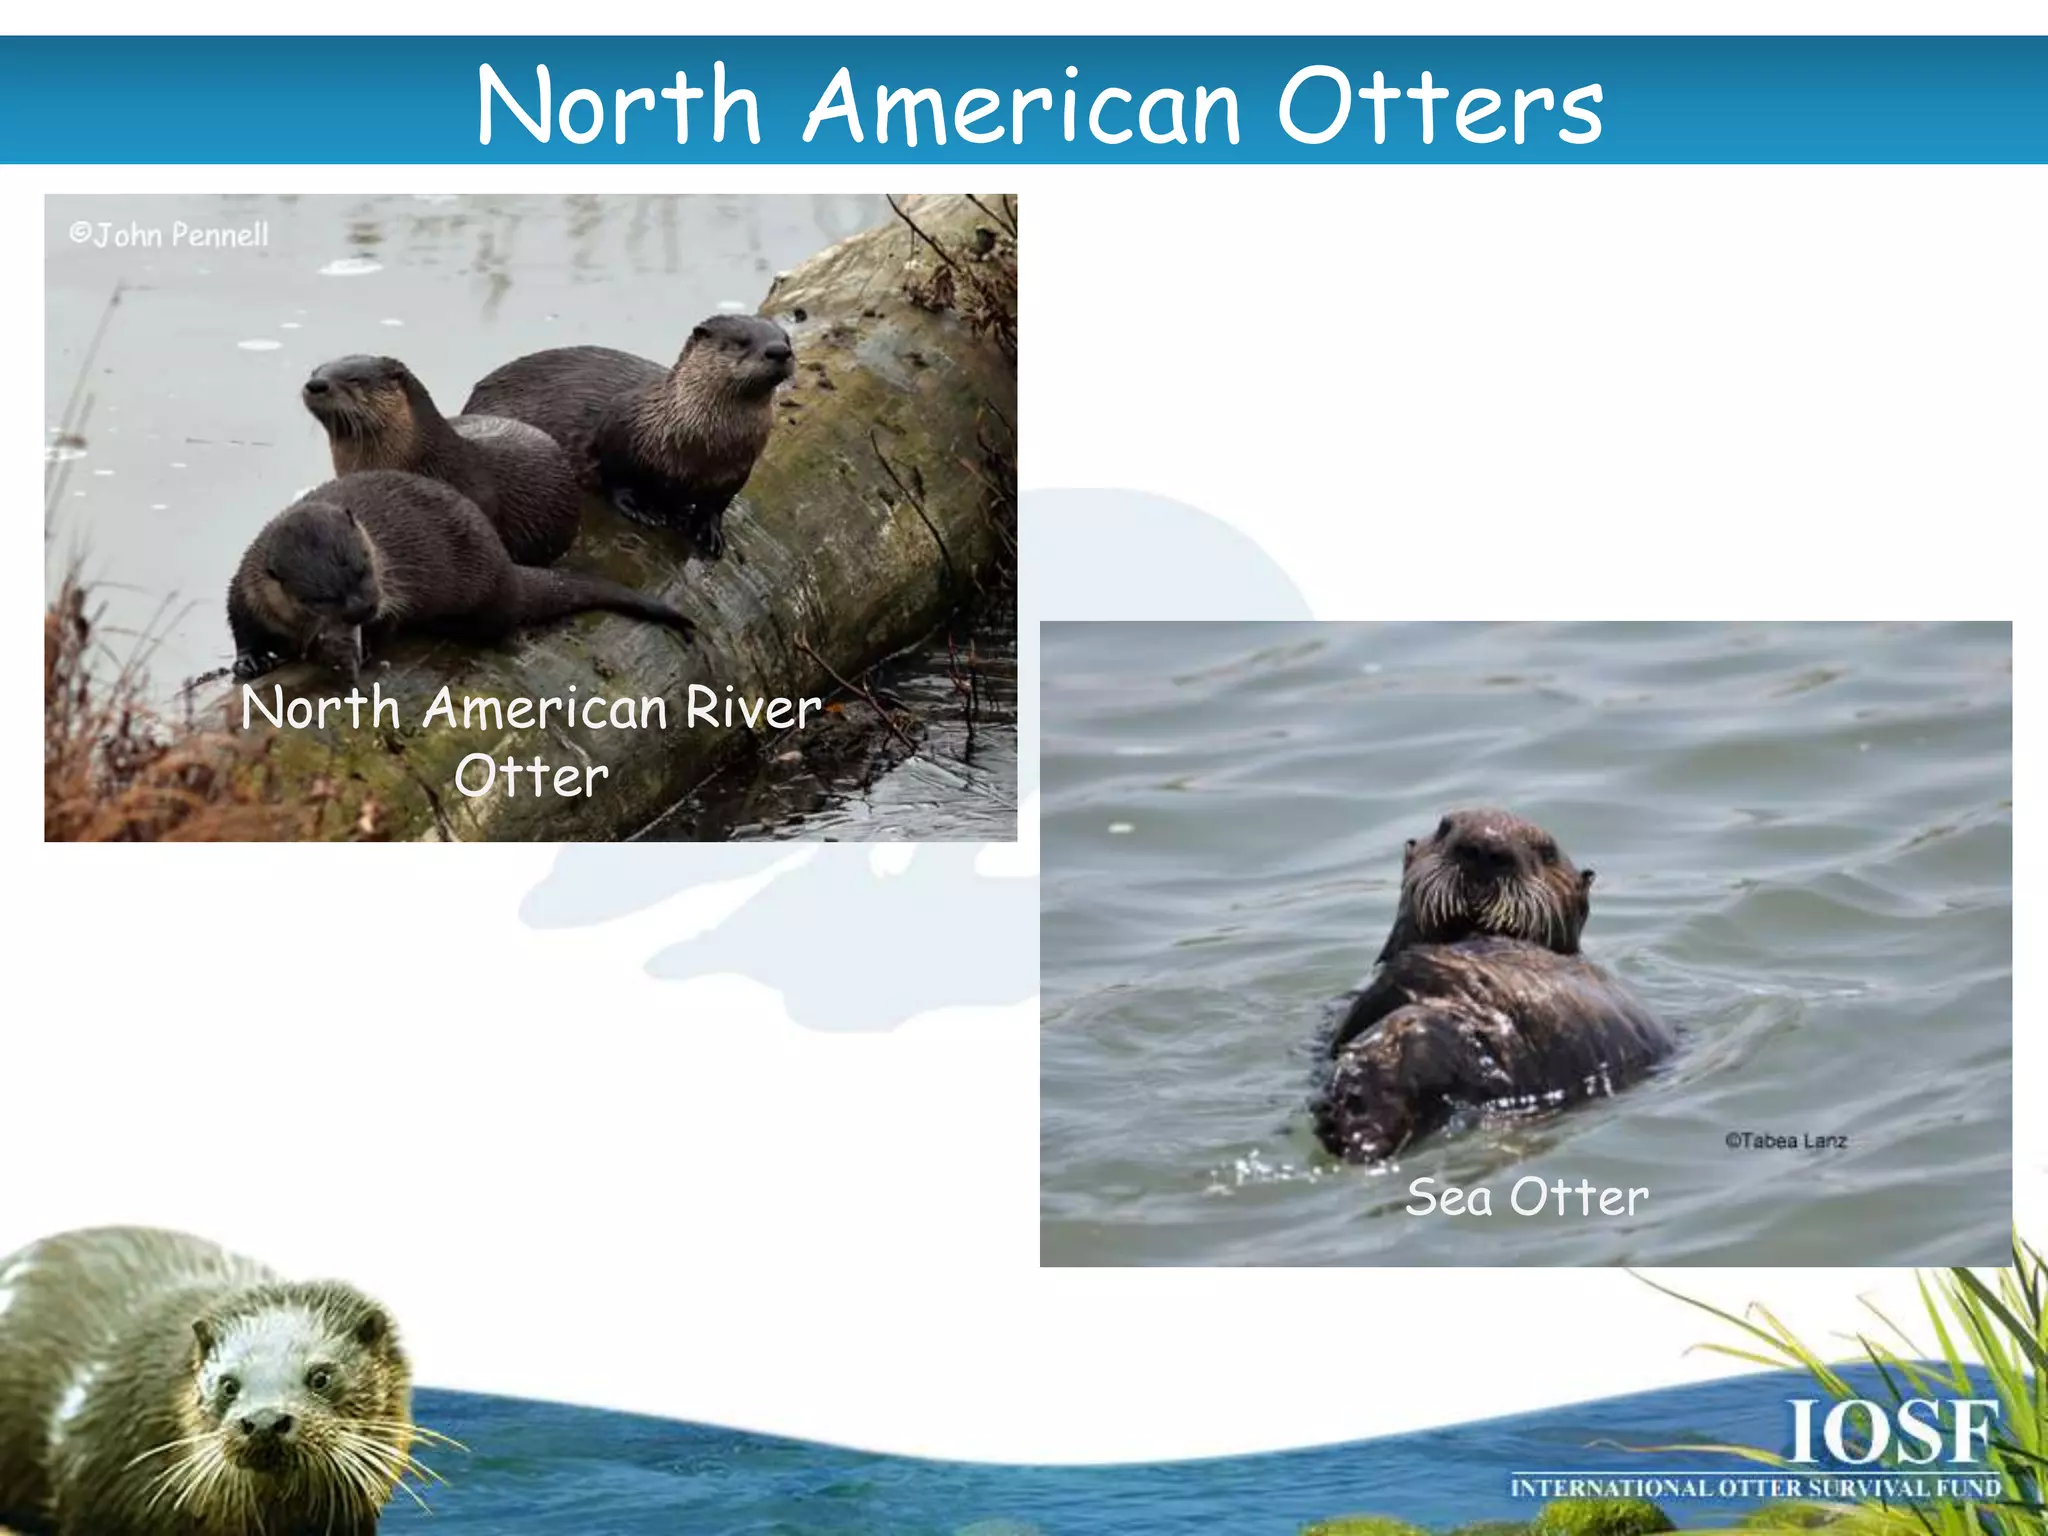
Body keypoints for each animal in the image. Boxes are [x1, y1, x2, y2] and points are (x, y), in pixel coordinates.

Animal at [227, 470, 695, 682]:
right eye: (320, 597)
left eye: (363, 565)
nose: (365, 606)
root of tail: (505, 565)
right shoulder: (245, 585)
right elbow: (240, 623)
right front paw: (251, 660)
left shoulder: (391, 588)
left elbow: (389, 623)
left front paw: (366, 648)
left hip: (485, 597)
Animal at [462, 313, 795, 559]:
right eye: (741, 342)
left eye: (786, 339)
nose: (779, 351)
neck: (703, 446)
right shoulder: (618, 433)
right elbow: (615, 476)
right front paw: (641, 508)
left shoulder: (738, 470)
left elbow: (716, 505)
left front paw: (709, 531)